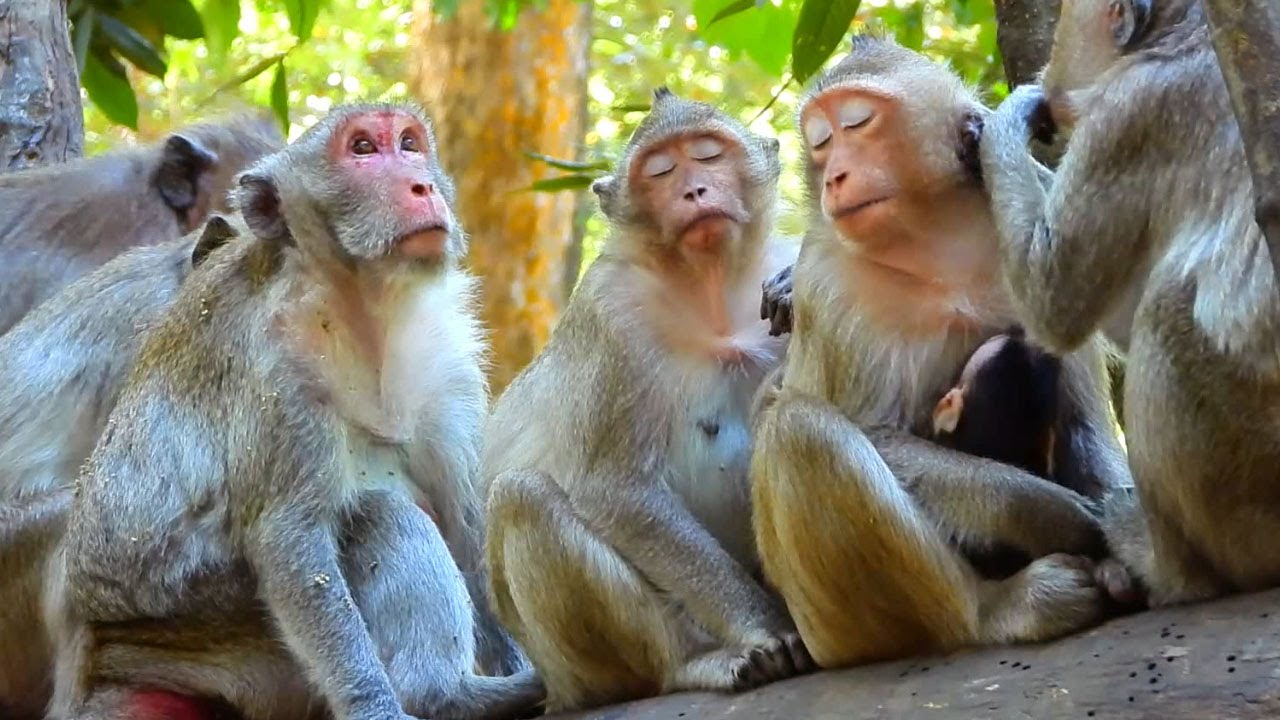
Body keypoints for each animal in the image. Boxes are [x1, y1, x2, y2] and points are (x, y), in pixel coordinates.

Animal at [44, 103, 543, 720]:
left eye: (409, 144)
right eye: (362, 149)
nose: (422, 185)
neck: (363, 304)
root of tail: (102, 645)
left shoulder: (447, 364)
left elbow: (466, 525)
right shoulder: (277, 374)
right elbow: (290, 539)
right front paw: (372, 704)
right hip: (218, 636)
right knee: (378, 515)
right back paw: (445, 695)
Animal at [483, 89, 812, 713]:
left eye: (708, 154)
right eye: (660, 171)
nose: (694, 190)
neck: (711, 292)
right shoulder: (611, 310)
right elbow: (619, 489)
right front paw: (770, 629)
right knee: (522, 497)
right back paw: (692, 665)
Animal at [748, 35, 1135, 670]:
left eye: (857, 123)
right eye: (821, 141)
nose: (834, 176)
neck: (935, 242)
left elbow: (1082, 422)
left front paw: (1125, 538)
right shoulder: (826, 280)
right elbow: (875, 433)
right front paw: (1048, 513)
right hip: (834, 626)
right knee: (800, 433)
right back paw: (996, 611)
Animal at [980, 0, 1280, 607]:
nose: (1049, 74)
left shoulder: (1130, 116)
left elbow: (1056, 302)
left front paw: (1001, 118)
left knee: (1166, 312)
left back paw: (1172, 570)